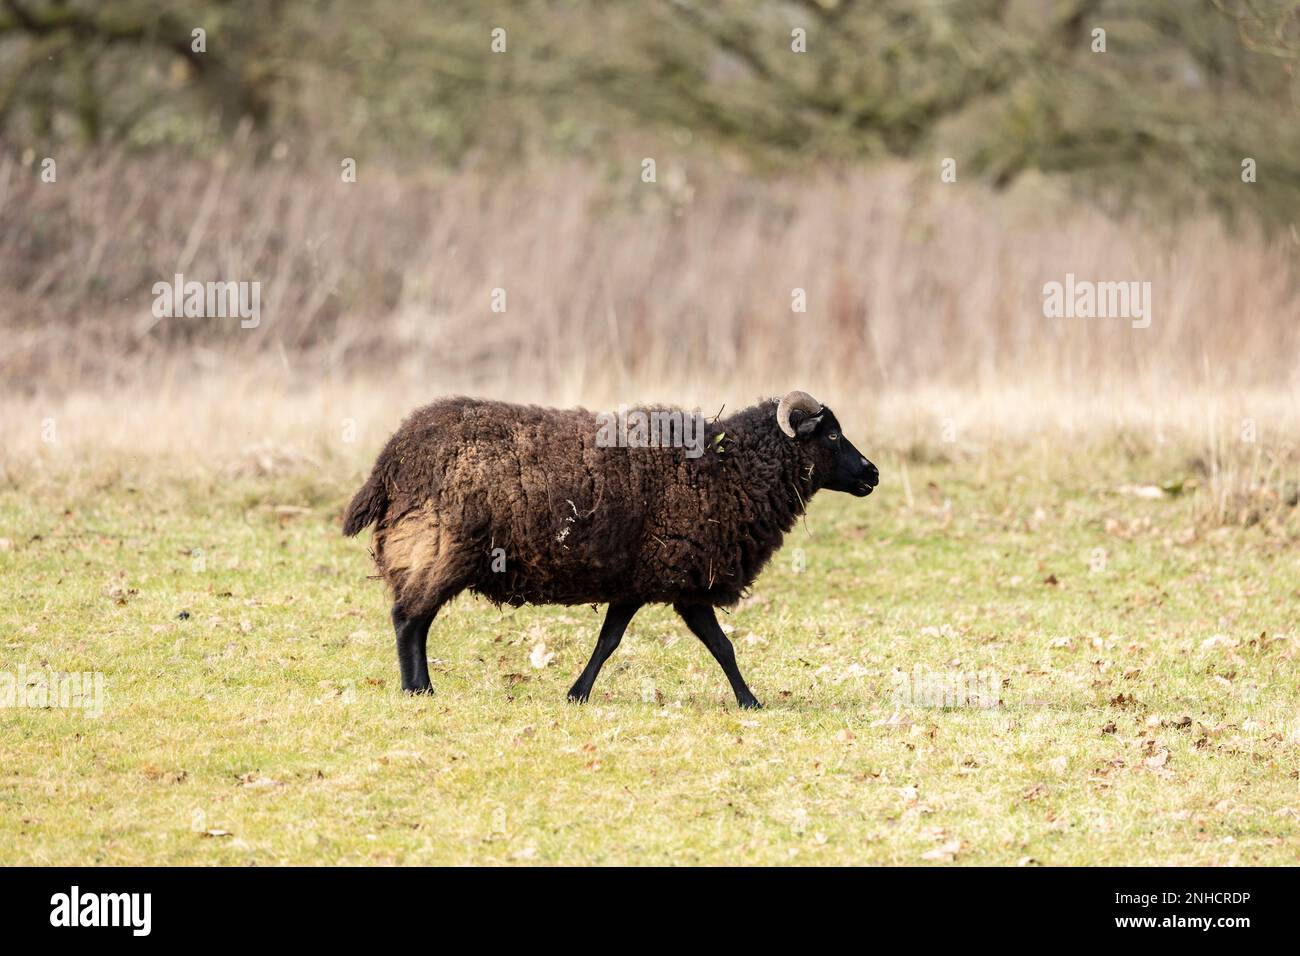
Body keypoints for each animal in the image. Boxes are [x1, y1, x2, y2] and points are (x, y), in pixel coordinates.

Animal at [342, 390, 879, 708]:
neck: (730, 468)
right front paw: (750, 700)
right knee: (409, 618)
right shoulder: (686, 584)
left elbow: (609, 641)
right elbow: (722, 646)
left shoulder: (635, 583)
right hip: (439, 546)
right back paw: (417, 690)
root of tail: (394, 454)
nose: (872, 474)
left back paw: (422, 687)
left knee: (414, 617)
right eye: (832, 434)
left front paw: (577, 692)